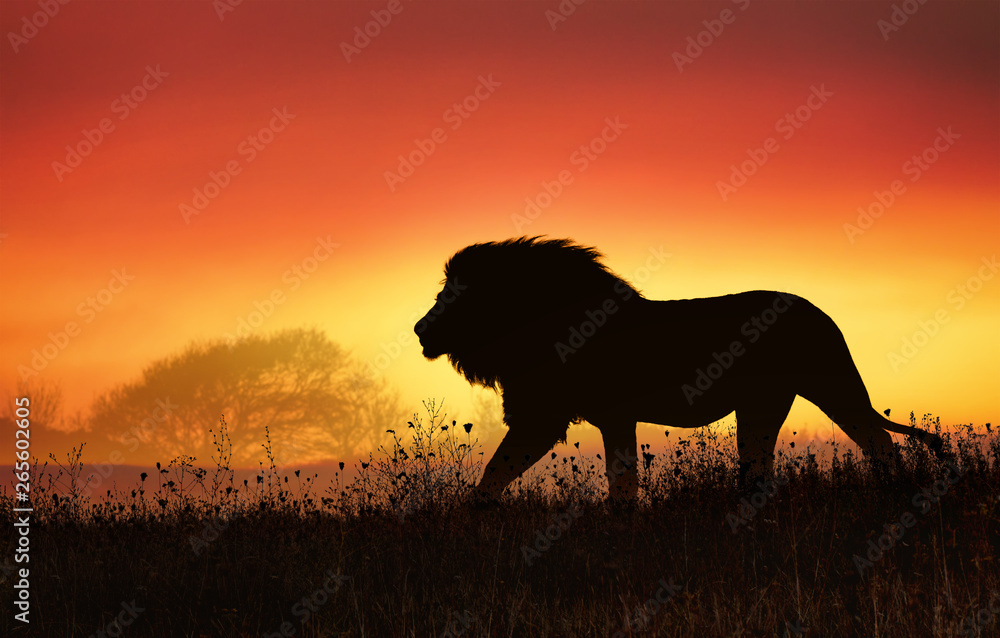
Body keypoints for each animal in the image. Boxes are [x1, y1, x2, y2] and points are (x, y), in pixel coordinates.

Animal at [414, 237, 945, 500]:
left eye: (454, 293)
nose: (420, 329)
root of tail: (821, 313)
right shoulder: (586, 418)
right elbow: (500, 473)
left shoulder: (561, 417)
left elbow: (501, 473)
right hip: (768, 404)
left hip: (824, 387)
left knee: (876, 442)